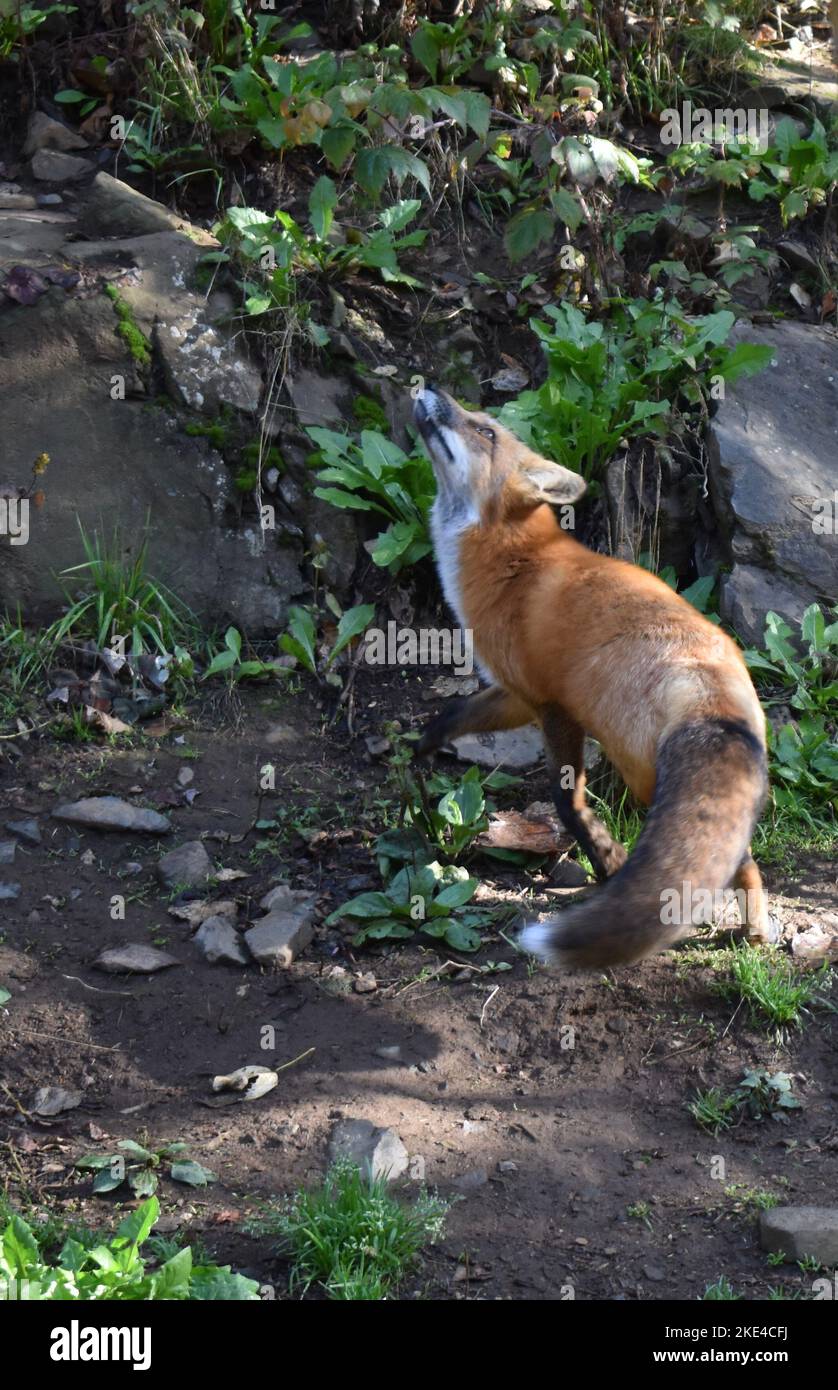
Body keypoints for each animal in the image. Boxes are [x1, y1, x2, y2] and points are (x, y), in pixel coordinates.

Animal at [413, 384, 775, 969]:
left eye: (485, 431)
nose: (429, 388)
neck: (514, 562)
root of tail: (714, 689)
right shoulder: (518, 693)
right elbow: (453, 713)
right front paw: (420, 749)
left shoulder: (552, 704)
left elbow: (569, 802)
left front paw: (606, 858)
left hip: (640, 774)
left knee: (742, 862)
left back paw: (753, 932)